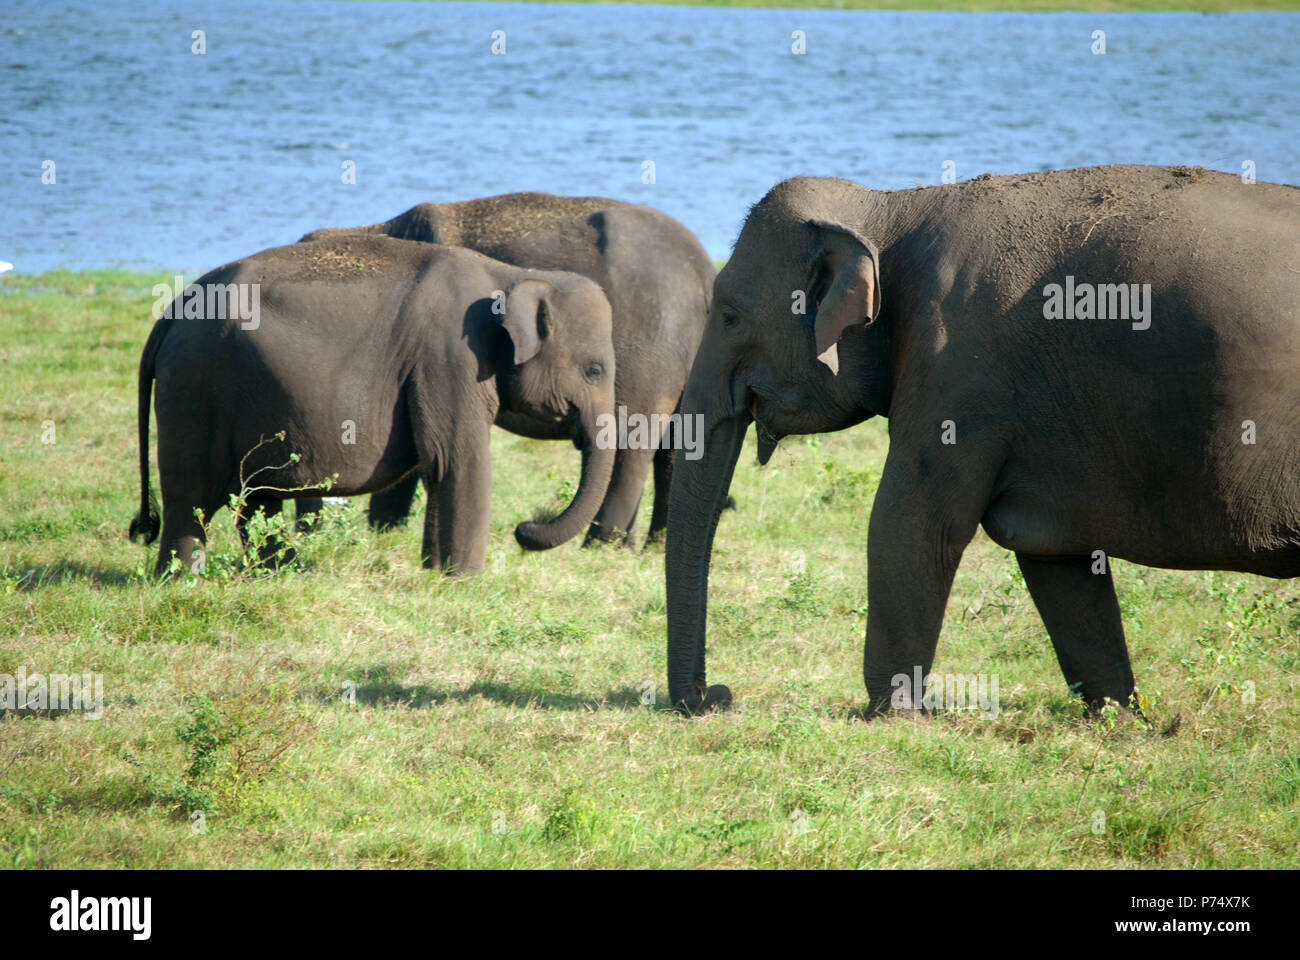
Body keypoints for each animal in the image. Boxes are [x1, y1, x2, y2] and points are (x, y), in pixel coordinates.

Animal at [129, 235, 616, 576]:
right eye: (594, 370)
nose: (525, 527)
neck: (511, 274)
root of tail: (168, 315)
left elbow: (439, 466)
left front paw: (435, 574)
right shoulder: (450, 358)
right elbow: (460, 460)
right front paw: (467, 582)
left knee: (257, 497)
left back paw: (281, 574)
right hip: (194, 388)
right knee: (191, 495)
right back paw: (181, 580)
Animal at [293, 192, 715, 546]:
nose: (524, 528)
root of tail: (706, 273)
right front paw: (384, 536)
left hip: (652, 346)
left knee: (634, 445)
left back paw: (602, 548)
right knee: (677, 447)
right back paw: (651, 547)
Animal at [666, 164, 1300, 717]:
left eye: (728, 314)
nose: (715, 695)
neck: (891, 206)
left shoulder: (959, 367)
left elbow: (912, 523)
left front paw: (893, 717)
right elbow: (1055, 556)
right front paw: (1120, 719)